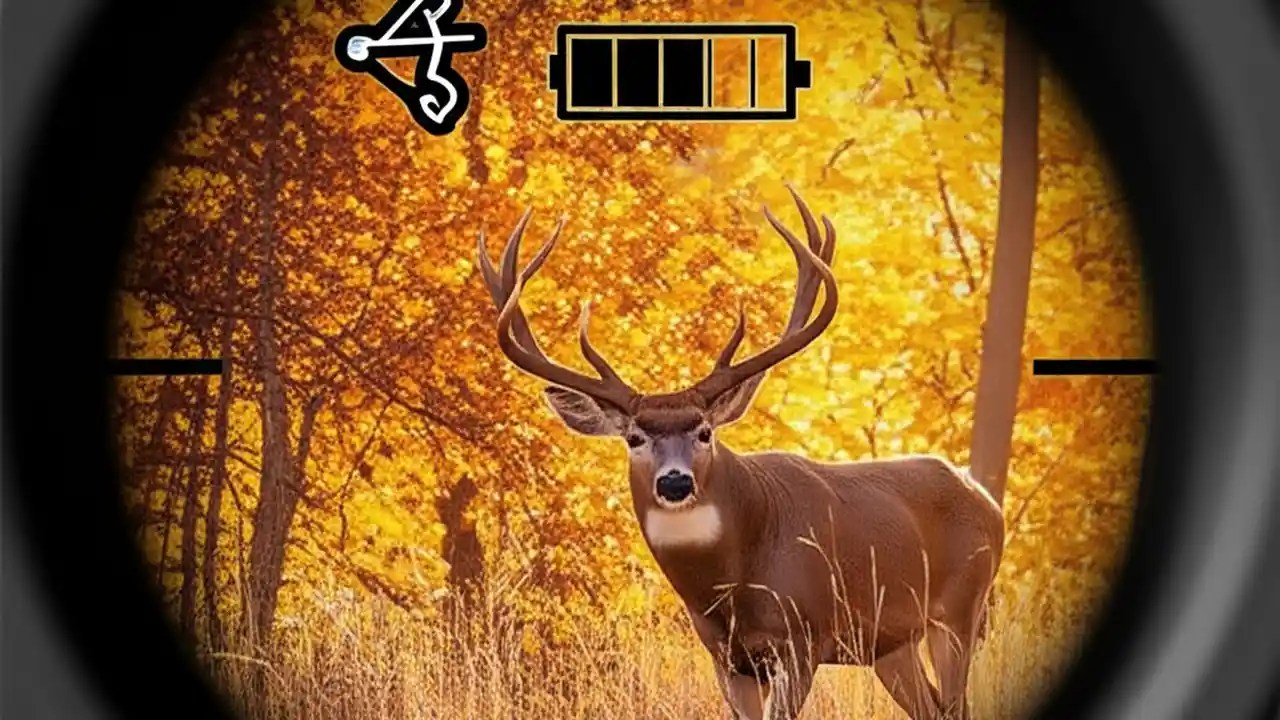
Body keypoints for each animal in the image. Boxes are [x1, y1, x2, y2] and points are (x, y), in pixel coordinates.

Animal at [476, 187, 1006, 720]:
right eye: (634, 438)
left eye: (705, 431)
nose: (675, 481)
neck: (733, 585)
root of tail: (985, 498)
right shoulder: (726, 658)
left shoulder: (802, 637)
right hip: (890, 644)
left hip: (962, 609)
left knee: (956, 700)